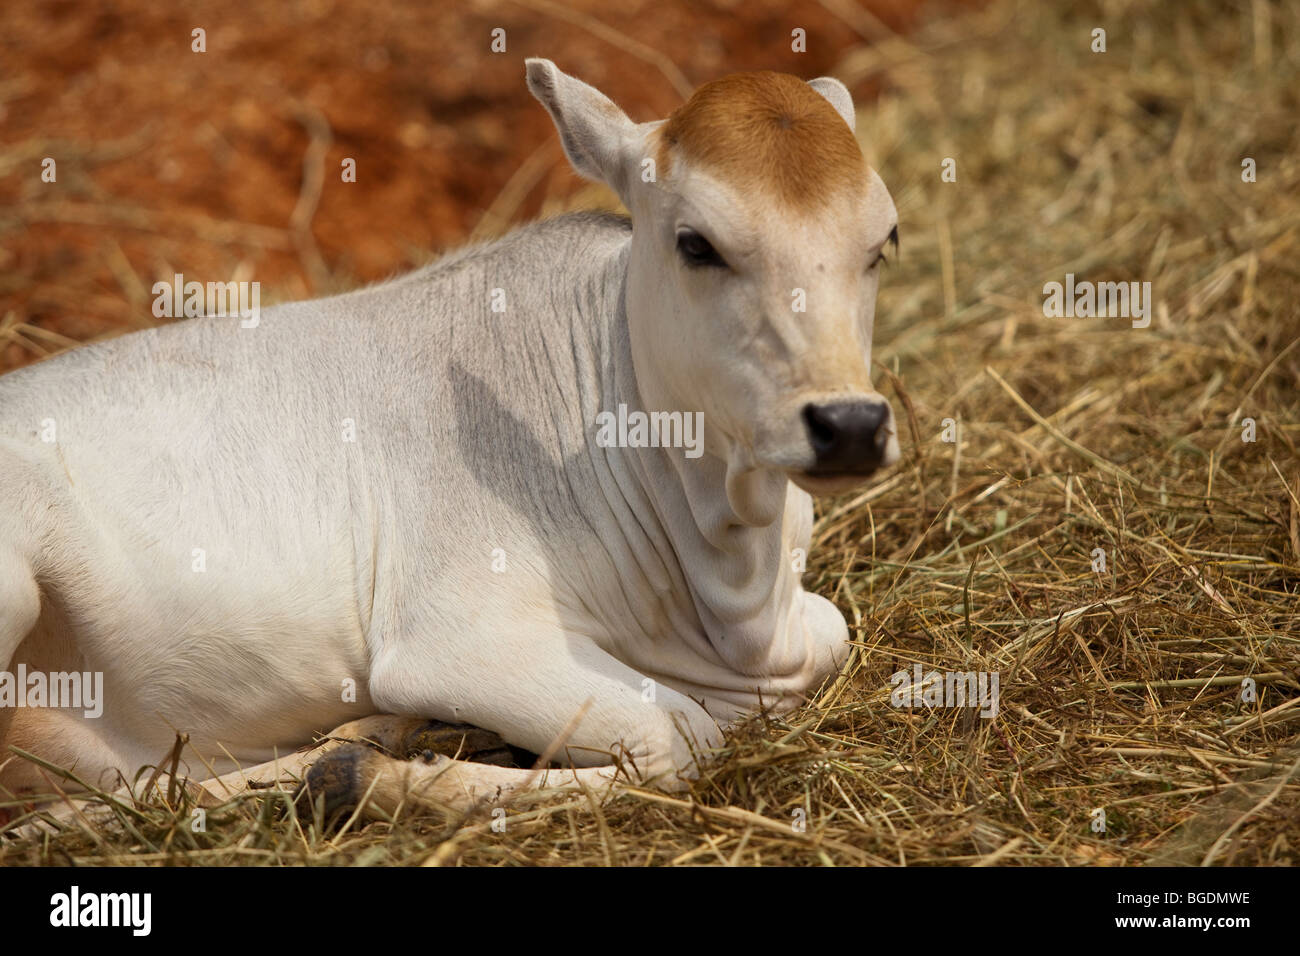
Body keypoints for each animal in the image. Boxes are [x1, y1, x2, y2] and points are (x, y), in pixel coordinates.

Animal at [0, 59, 899, 825]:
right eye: (696, 244)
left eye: (884, 242)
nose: (850, 424)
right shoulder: (455, 639)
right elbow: (679, 739)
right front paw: (383, 777)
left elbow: (831, 636)